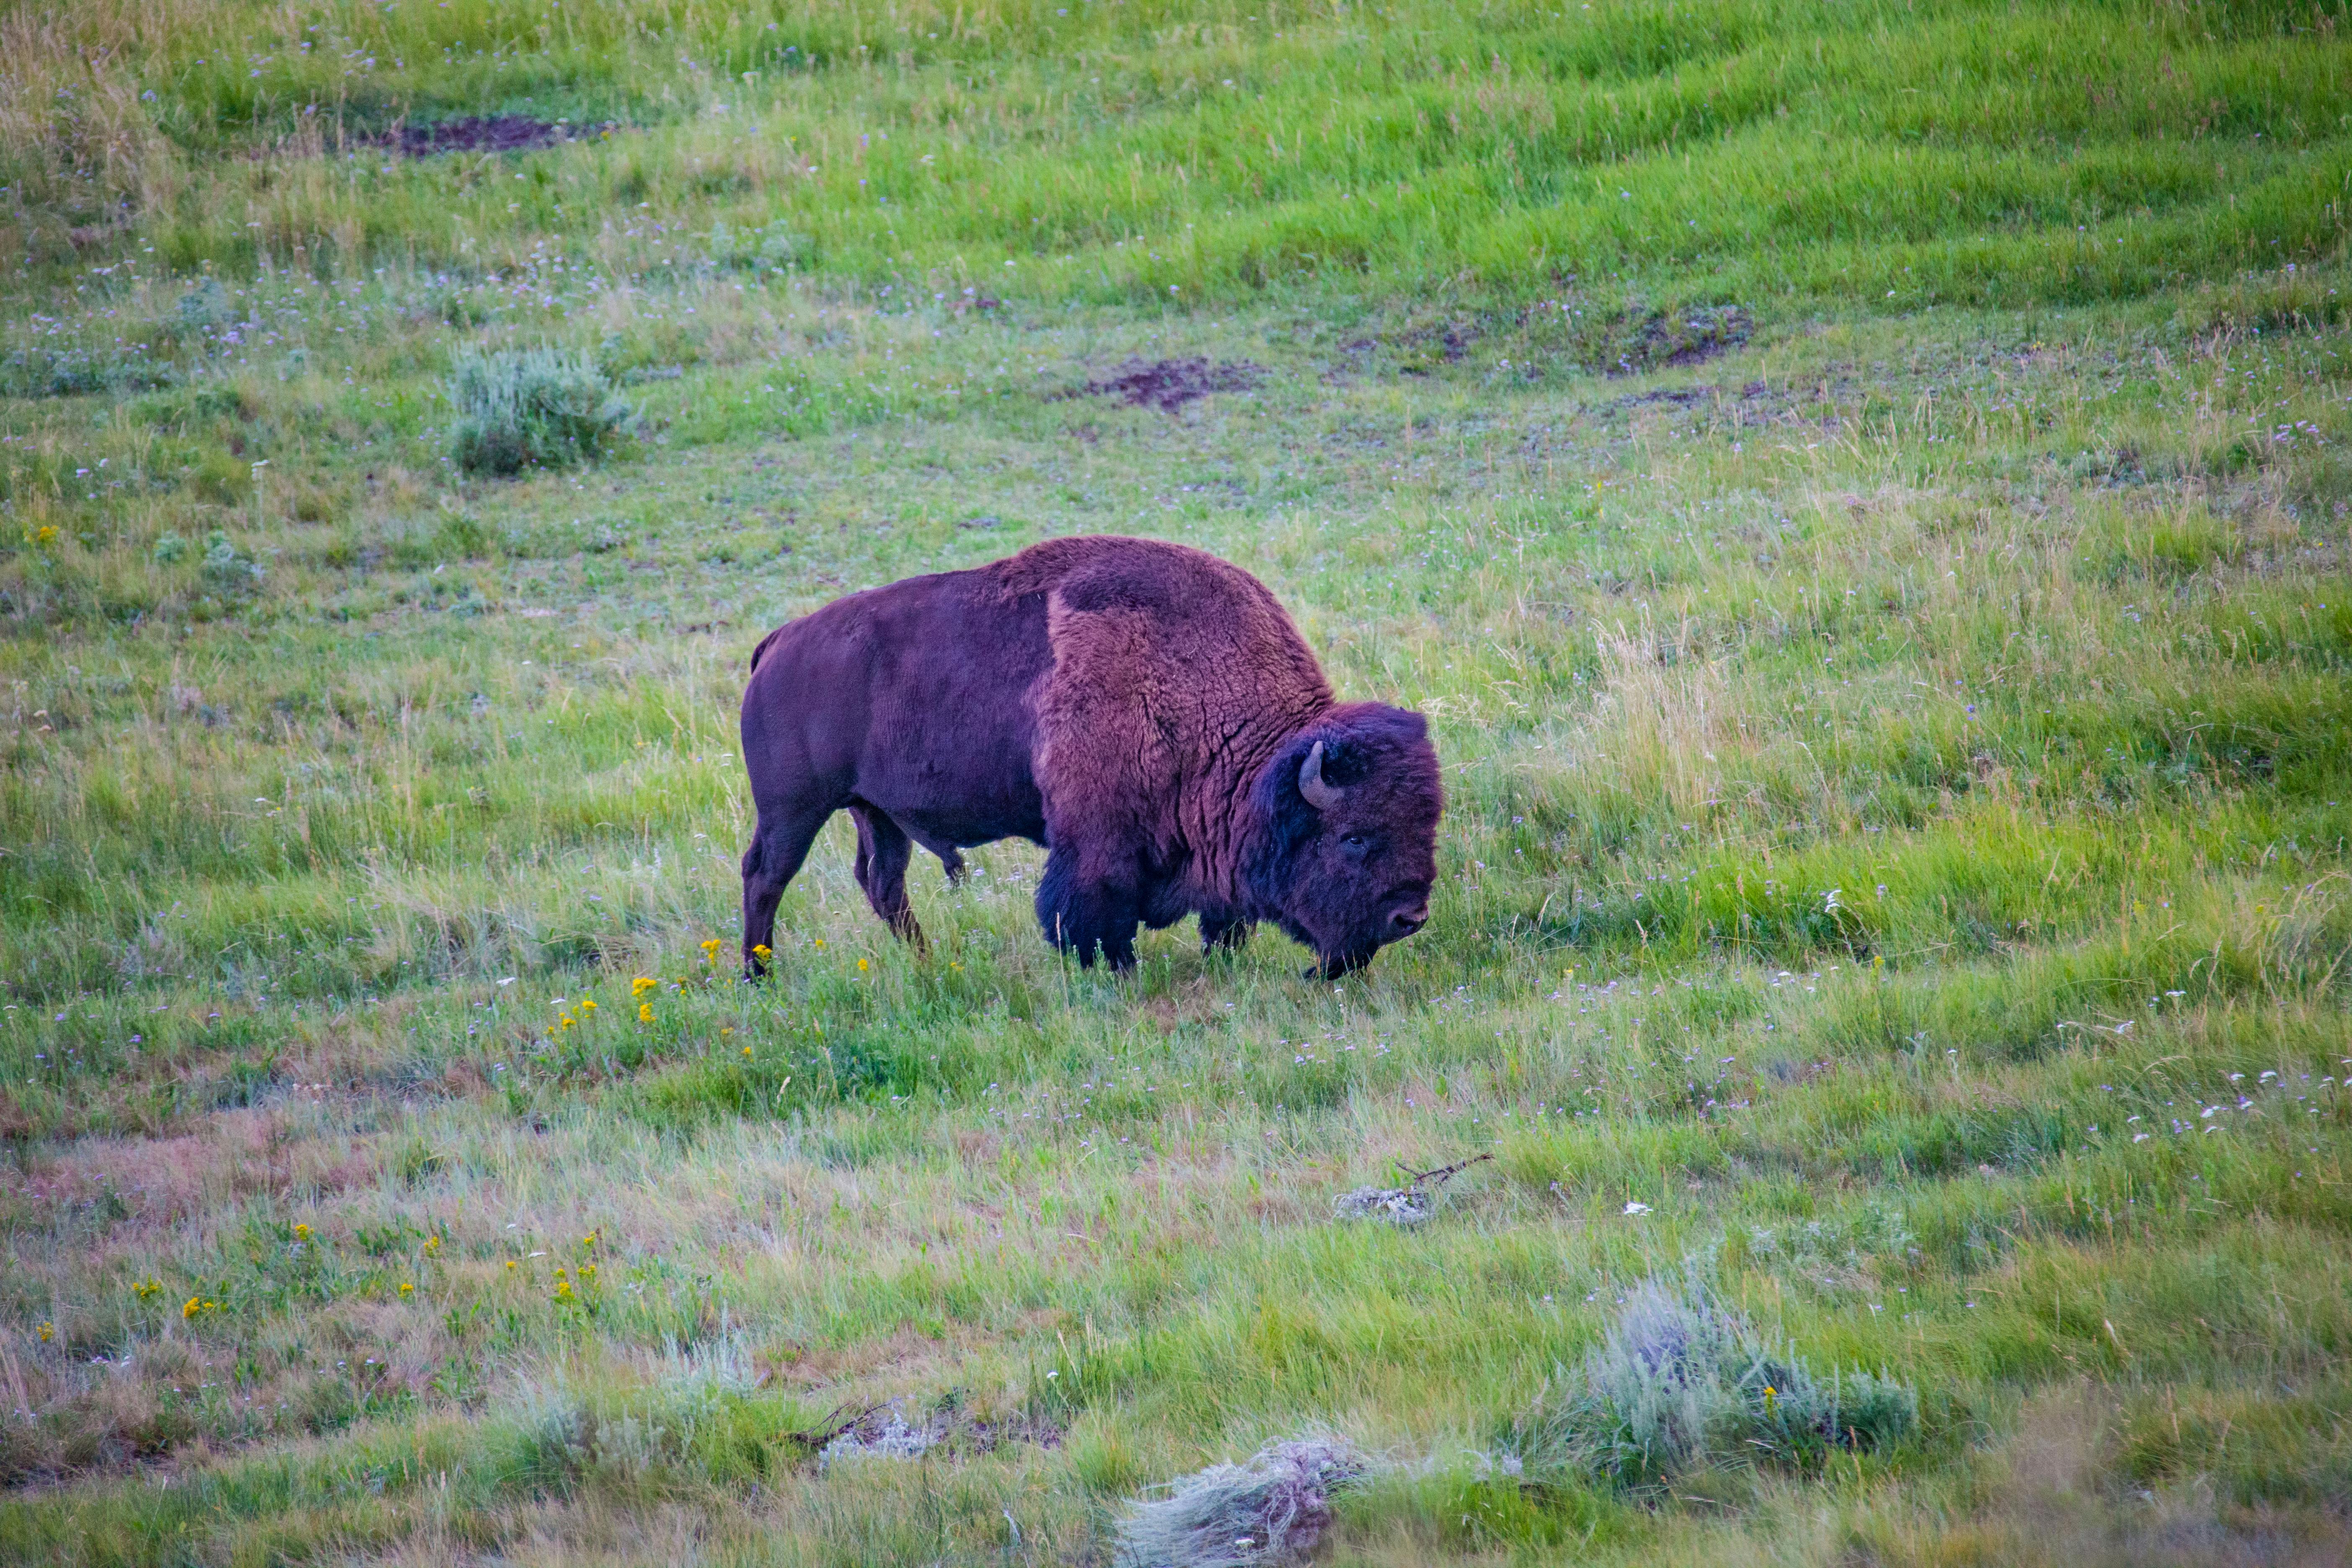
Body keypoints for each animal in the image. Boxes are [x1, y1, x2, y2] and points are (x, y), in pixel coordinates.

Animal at [737, 535, 1441, 977]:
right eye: (1354, 837)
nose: (1410, 916)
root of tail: (778, 643)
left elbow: (1223, 918)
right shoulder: (1096, 842)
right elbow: (1087, 916)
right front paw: (1114, 973)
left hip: (875, 813)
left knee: (883, 883)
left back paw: (927, 962)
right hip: (794, 809)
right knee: (766, 876)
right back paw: (758, 976)